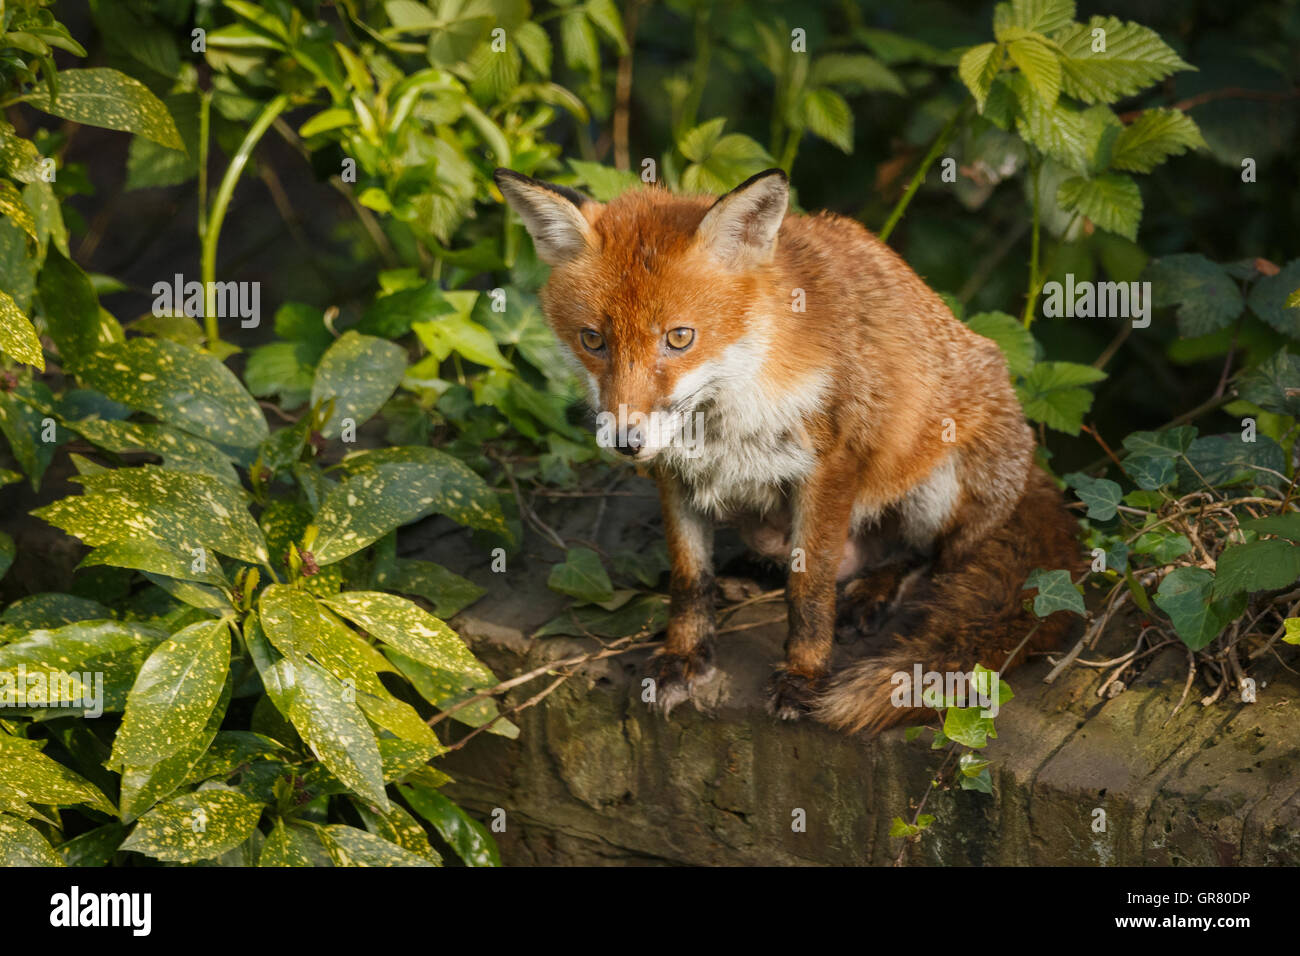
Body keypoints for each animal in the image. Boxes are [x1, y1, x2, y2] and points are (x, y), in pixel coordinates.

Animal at [494, 165, 1082, 735]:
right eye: (593, 340)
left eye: (680, 338)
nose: (625, 441)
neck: (731, 404)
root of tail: (1033, 472)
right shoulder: (674, 474)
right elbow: (689, 579)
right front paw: (685, 658)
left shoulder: (830, 466)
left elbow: (810, 588)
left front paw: (804, 675)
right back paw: (744, 578)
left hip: (939, 483)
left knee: (927, 557)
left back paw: (872, 589)